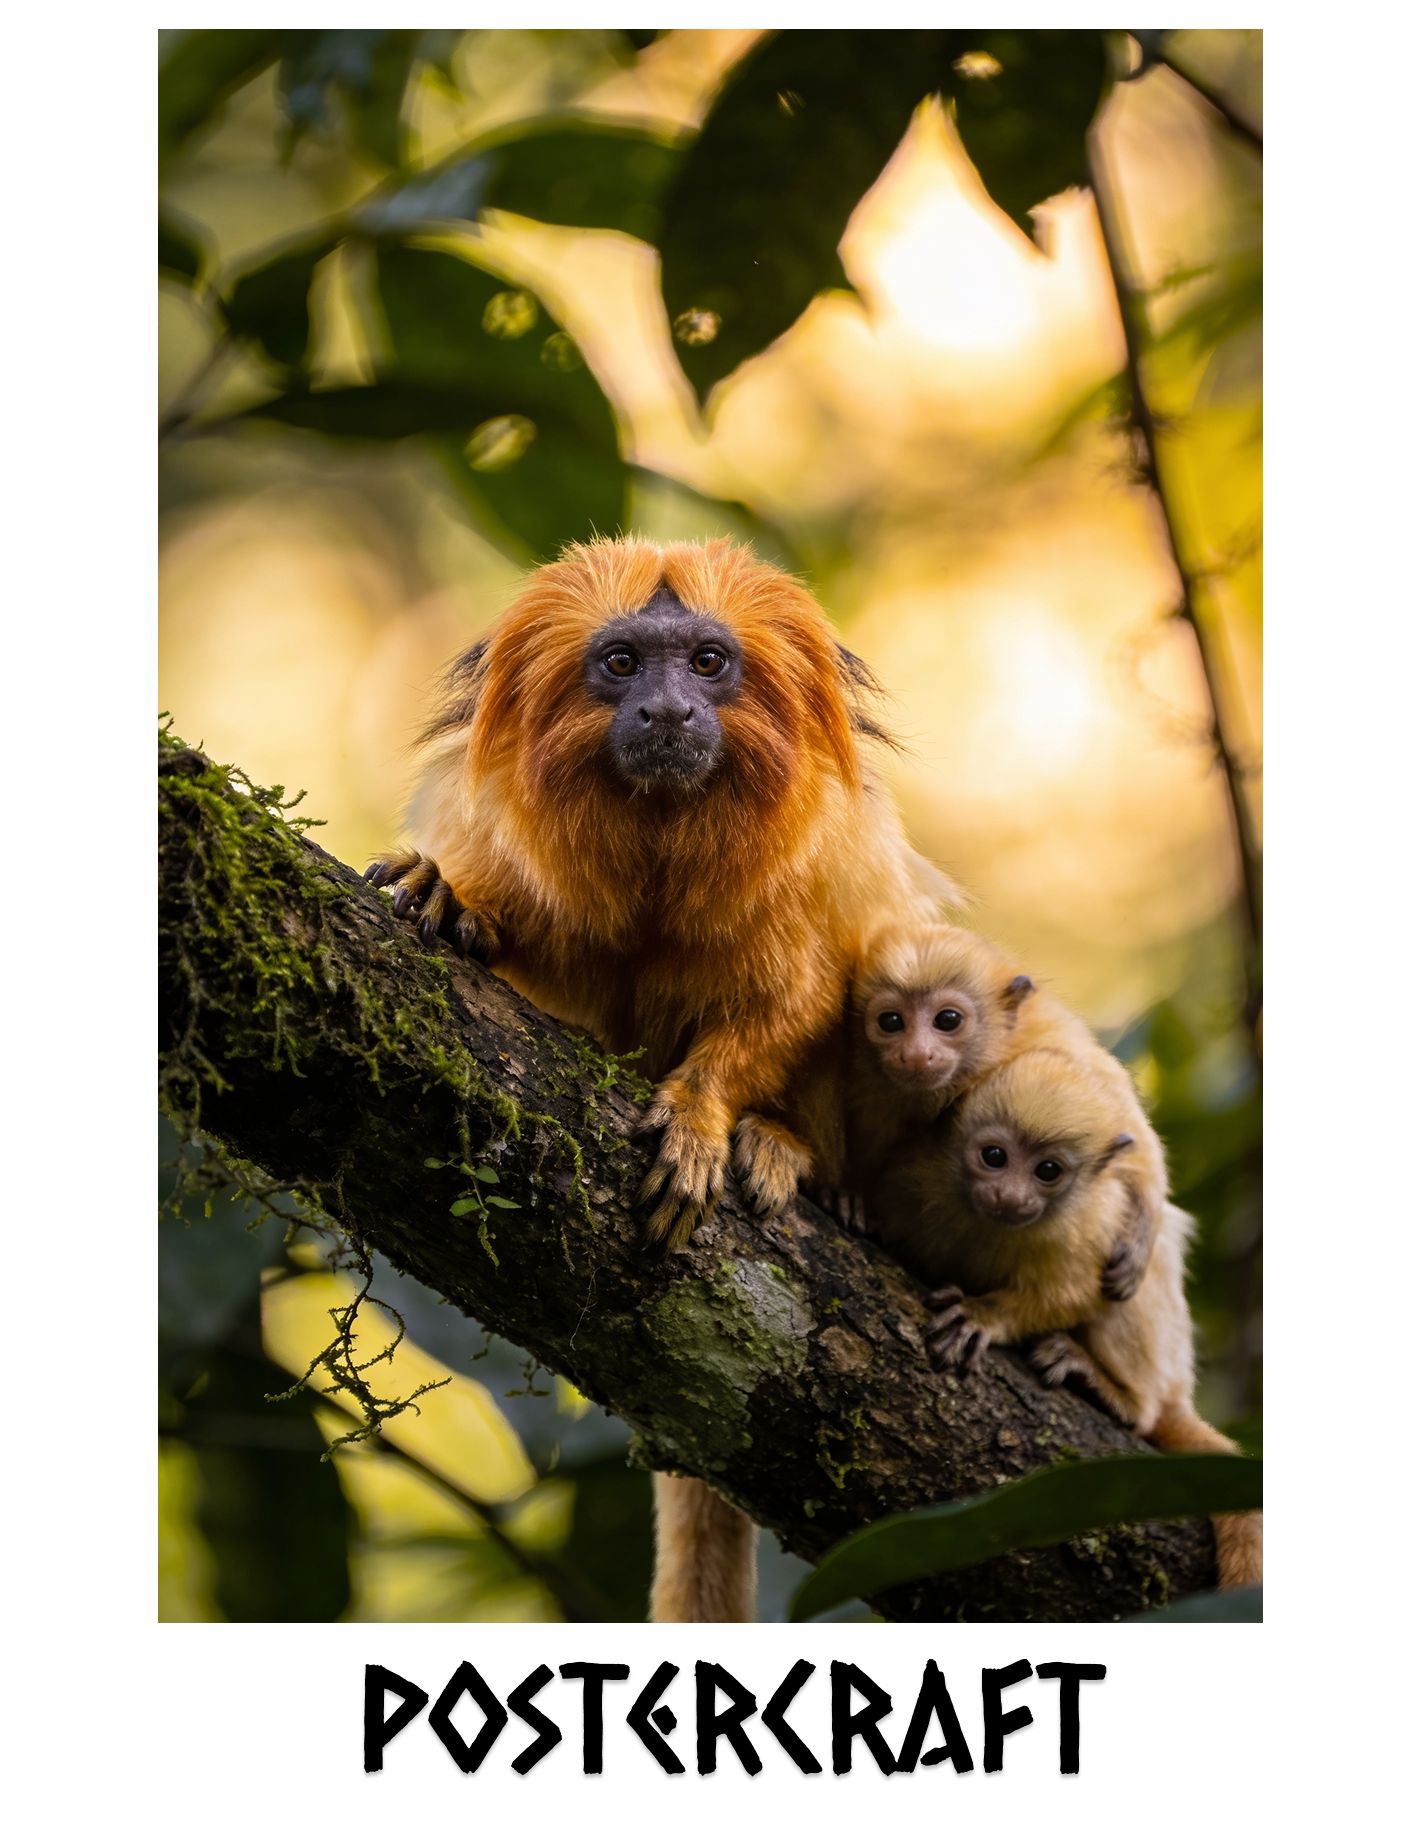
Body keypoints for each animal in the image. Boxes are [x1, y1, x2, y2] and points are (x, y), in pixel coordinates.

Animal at [363, 535, 956, 1622]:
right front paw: (451, 899)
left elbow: (801, 999)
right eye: (625, 663)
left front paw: (703, 1117)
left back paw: (790, 1155)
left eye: (709, 664)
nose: (671, 711)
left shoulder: (810, 879)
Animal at [879, 1047, 1262, 1588]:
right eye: (994, 1157)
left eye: (1048, 1171)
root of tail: (1176, 1391)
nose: (1011, 1197)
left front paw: (986, 1315)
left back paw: (1121, 1396)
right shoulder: (910, 1180)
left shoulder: (1089, 1219)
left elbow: (1079, 1292)